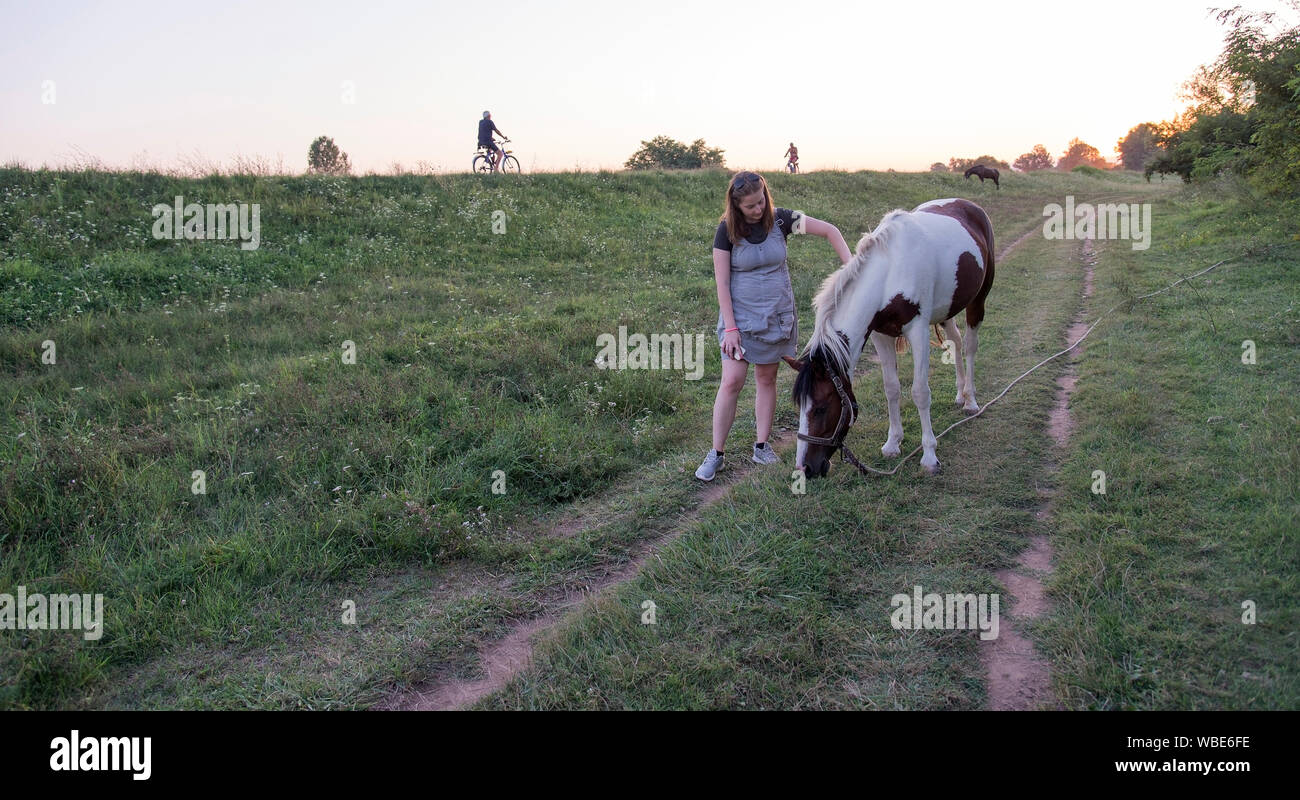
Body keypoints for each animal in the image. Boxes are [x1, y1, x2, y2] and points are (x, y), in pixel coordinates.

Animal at [784, 198, 995, 478]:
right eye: (800, 407)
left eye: (821, 407)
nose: (805, 468)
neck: (890, 271)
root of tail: (969, 205)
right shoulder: (881, 335)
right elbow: (891, 388)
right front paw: (893, 443)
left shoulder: (918, 331)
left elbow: (920, 392)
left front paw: (929, 455)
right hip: (948, 308)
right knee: (957, 342)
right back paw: (960, 394)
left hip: (977, 300)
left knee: (970, 346)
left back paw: (970, 400)